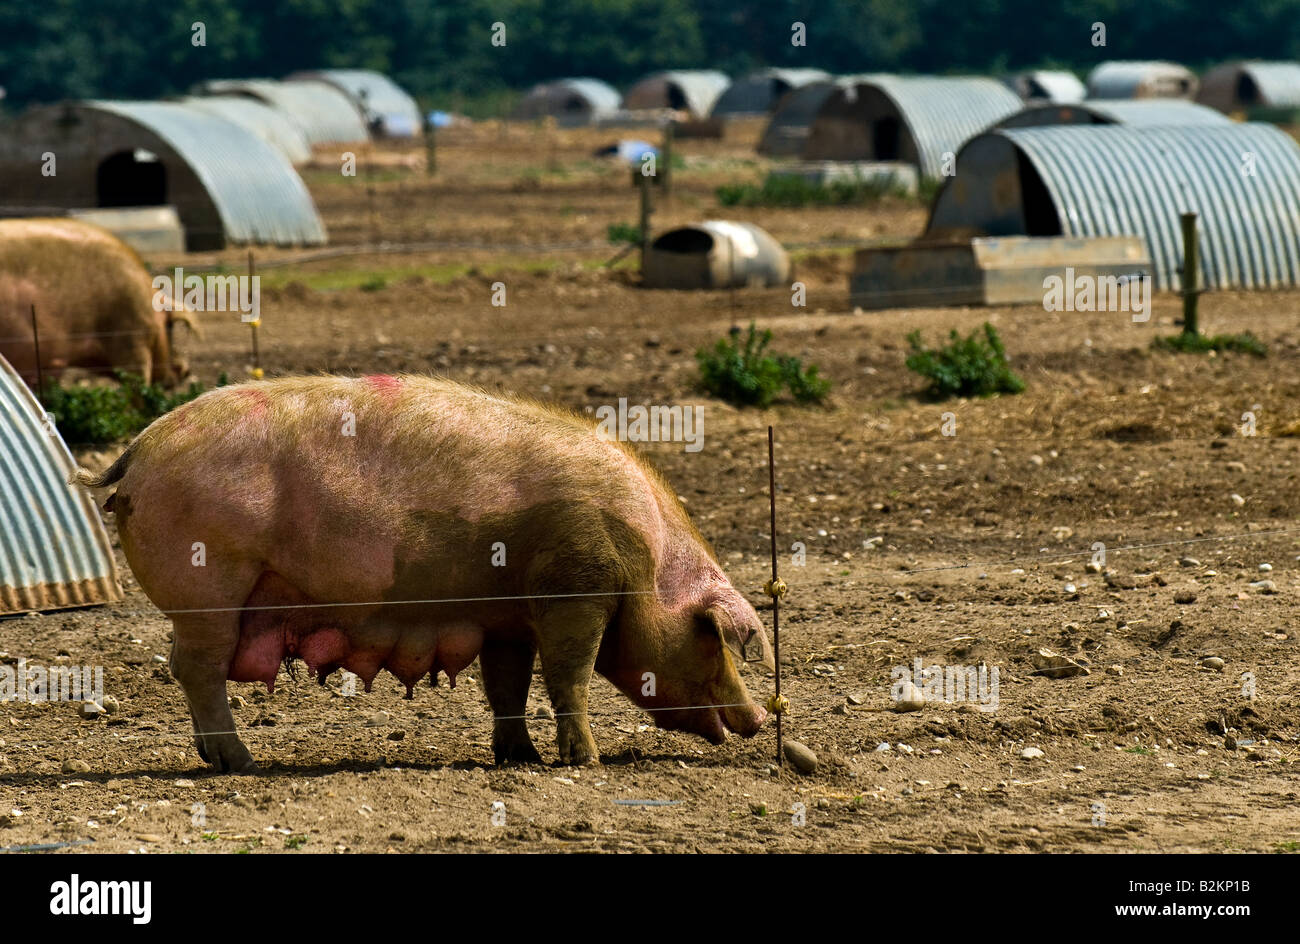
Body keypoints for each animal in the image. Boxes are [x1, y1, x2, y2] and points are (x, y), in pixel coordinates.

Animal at [74, 375, 772, 772]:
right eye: (714, 640)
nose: (759, 720)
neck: (647, 563)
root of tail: (136, 451)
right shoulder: (575, 590)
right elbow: (569, 675)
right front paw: (586, 763)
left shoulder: (507, 618)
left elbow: (507, 686)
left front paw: (518, 758)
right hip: (209, 588)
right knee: (196, 667)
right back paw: (239, 763)